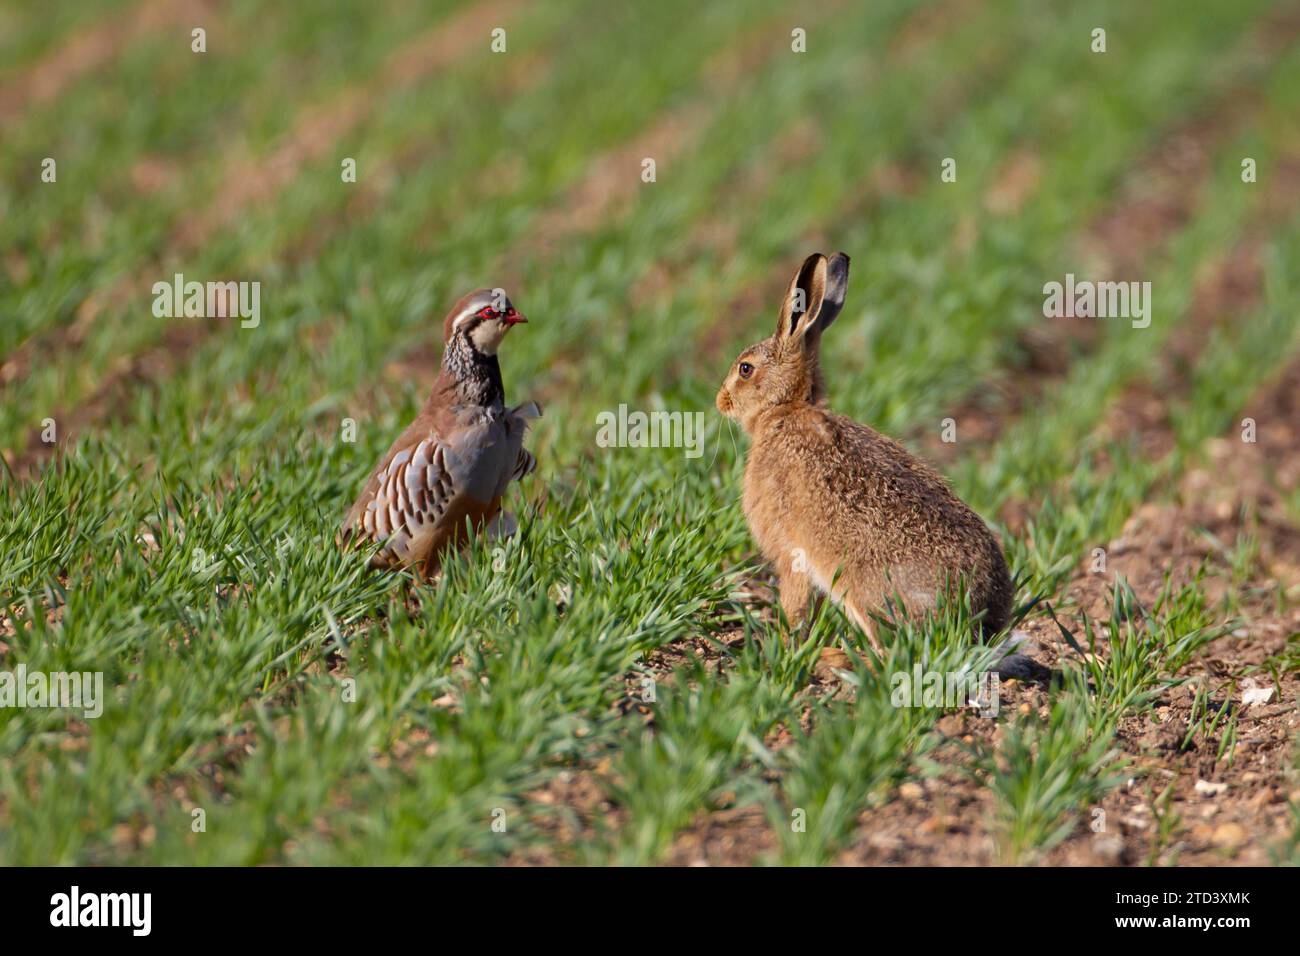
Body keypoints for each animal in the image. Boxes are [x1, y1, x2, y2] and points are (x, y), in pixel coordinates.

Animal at [715, 251, 1023, 666]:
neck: (787, 408)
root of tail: (978, 620)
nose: (720, 401)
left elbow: (795, 607)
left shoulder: (789, 553)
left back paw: (833, 657)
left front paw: (785, 643)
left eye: (745, 369)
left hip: (865, 596)